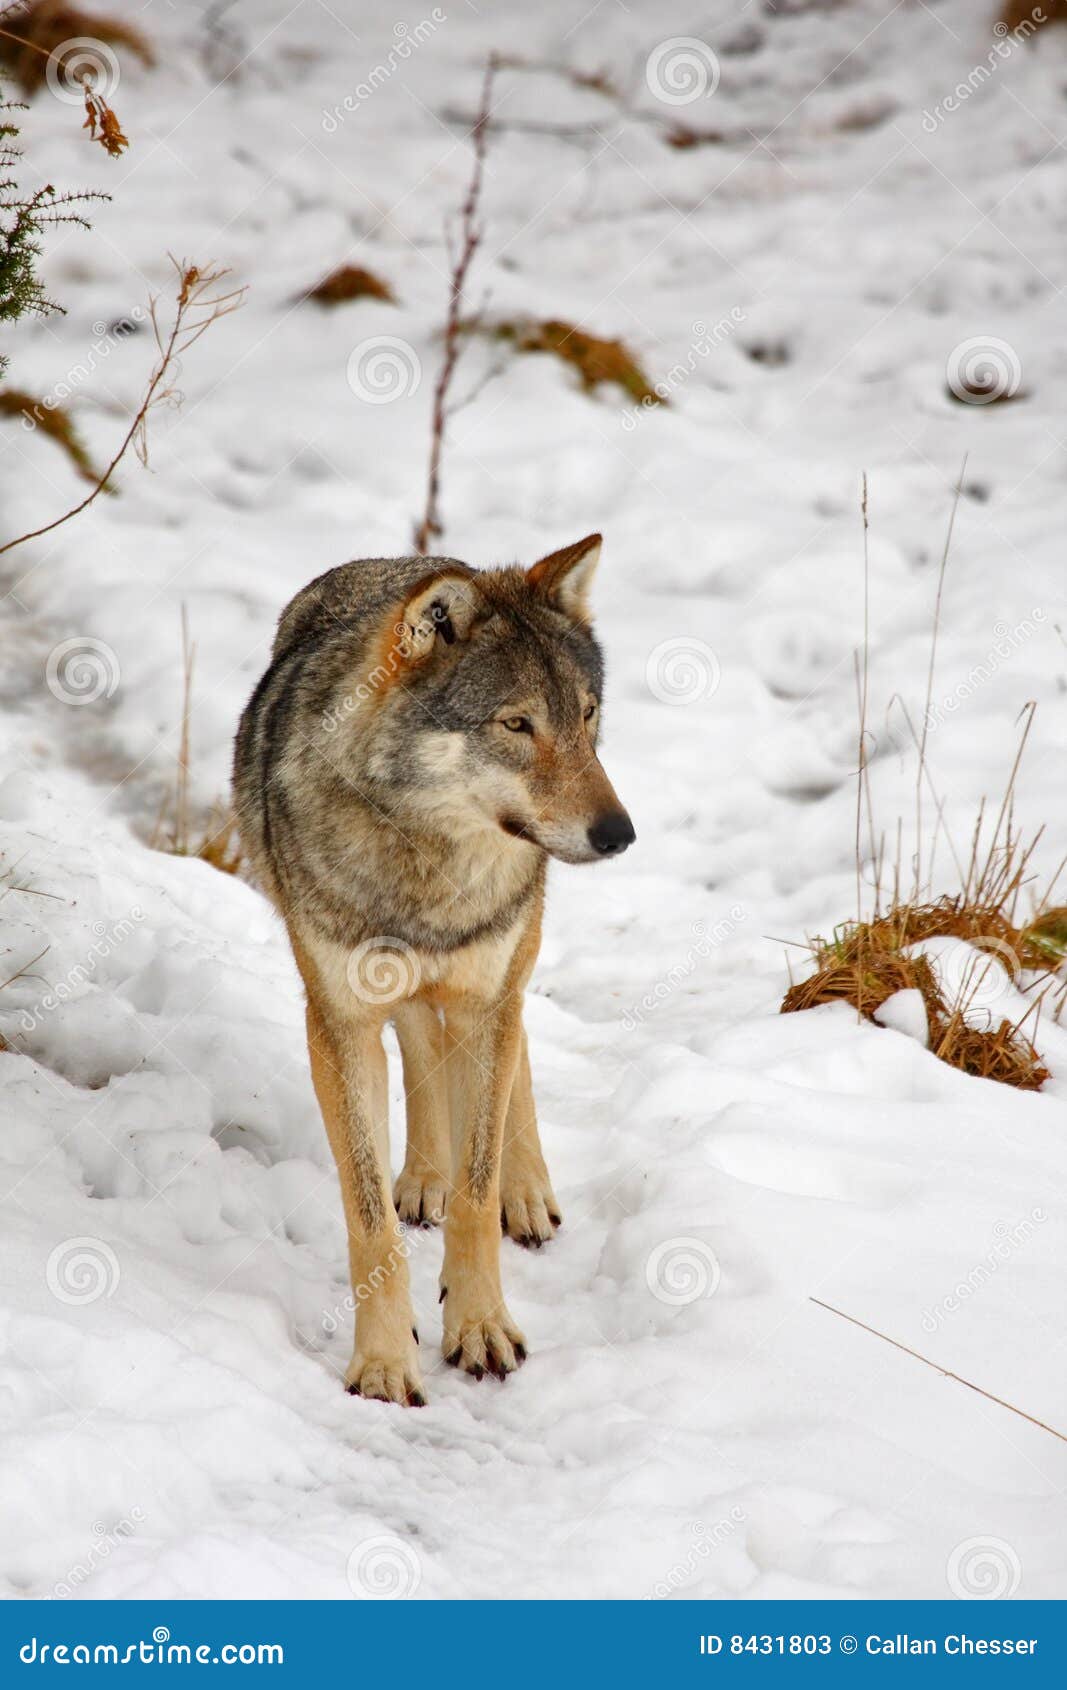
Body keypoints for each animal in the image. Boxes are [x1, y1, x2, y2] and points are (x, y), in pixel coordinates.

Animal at [233, 533, 633, 1406]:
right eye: (516, 724)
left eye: (587, 716)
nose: (619, 833)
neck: (427, 864)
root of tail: (403, 559)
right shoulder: (338, 1022)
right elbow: (368, 1218)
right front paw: (384, 1363)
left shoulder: (486, 998)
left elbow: (475, 1200)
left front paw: (481, 1329)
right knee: (420, 1041)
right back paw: (422, 1176)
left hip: (510, 959)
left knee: (510, 1058)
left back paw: (526, 1192)